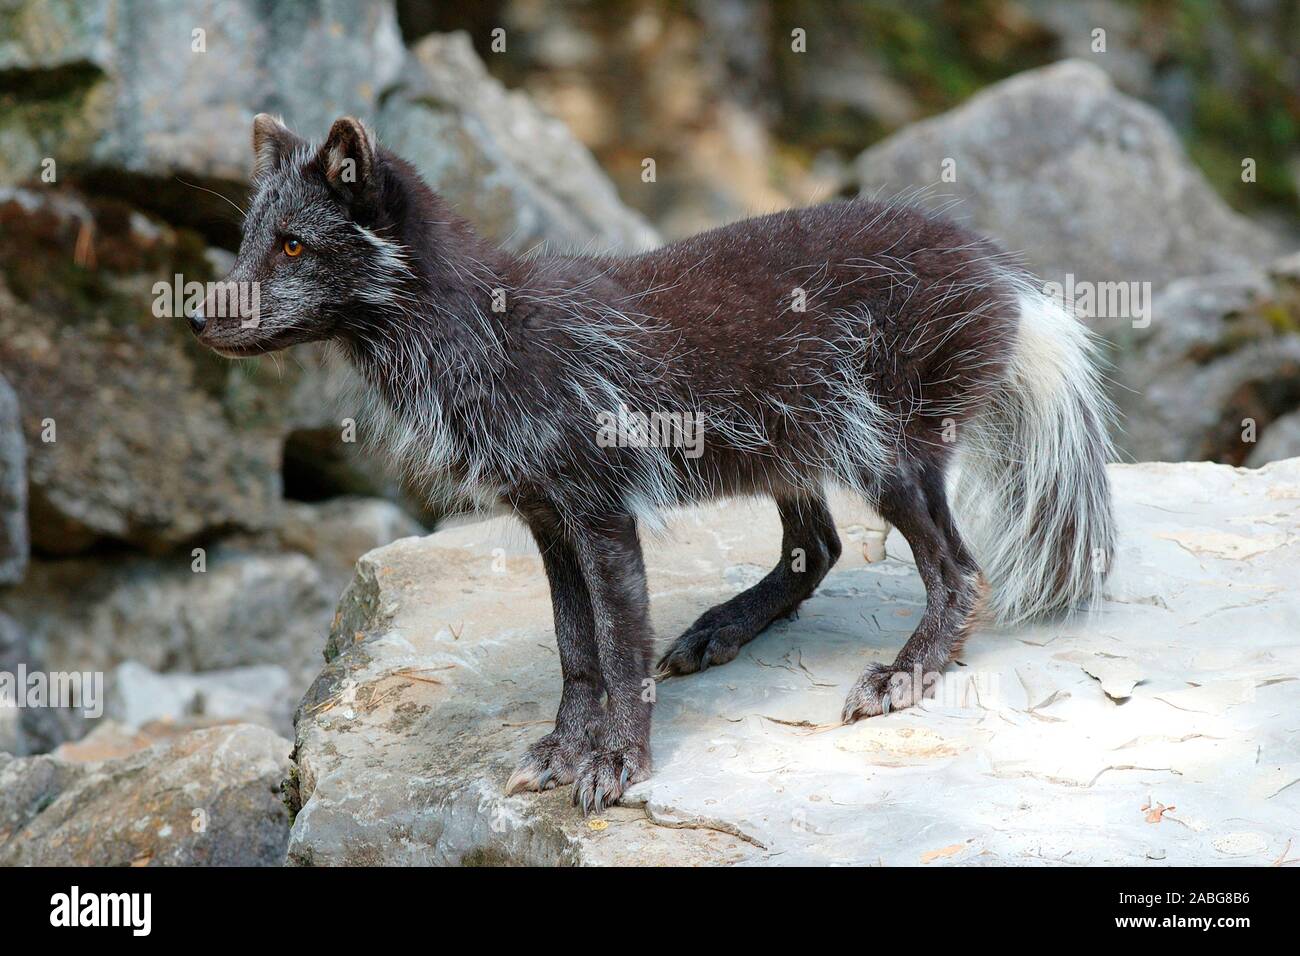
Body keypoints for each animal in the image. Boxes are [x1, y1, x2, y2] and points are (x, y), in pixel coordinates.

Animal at [193, 114, 1116, 813]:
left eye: (295, 248)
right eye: (247, 241)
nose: (198, 316)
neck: (485, 335)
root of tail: (1005, 273)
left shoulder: (602, 510)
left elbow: (622, 649)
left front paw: (619, 764)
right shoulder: (545, 516)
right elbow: (576, 648)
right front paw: (566, 749)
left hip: (884, 451)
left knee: (959, 572)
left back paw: (905, 672)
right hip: (797, 445)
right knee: (817, 548)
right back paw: (723, 627)